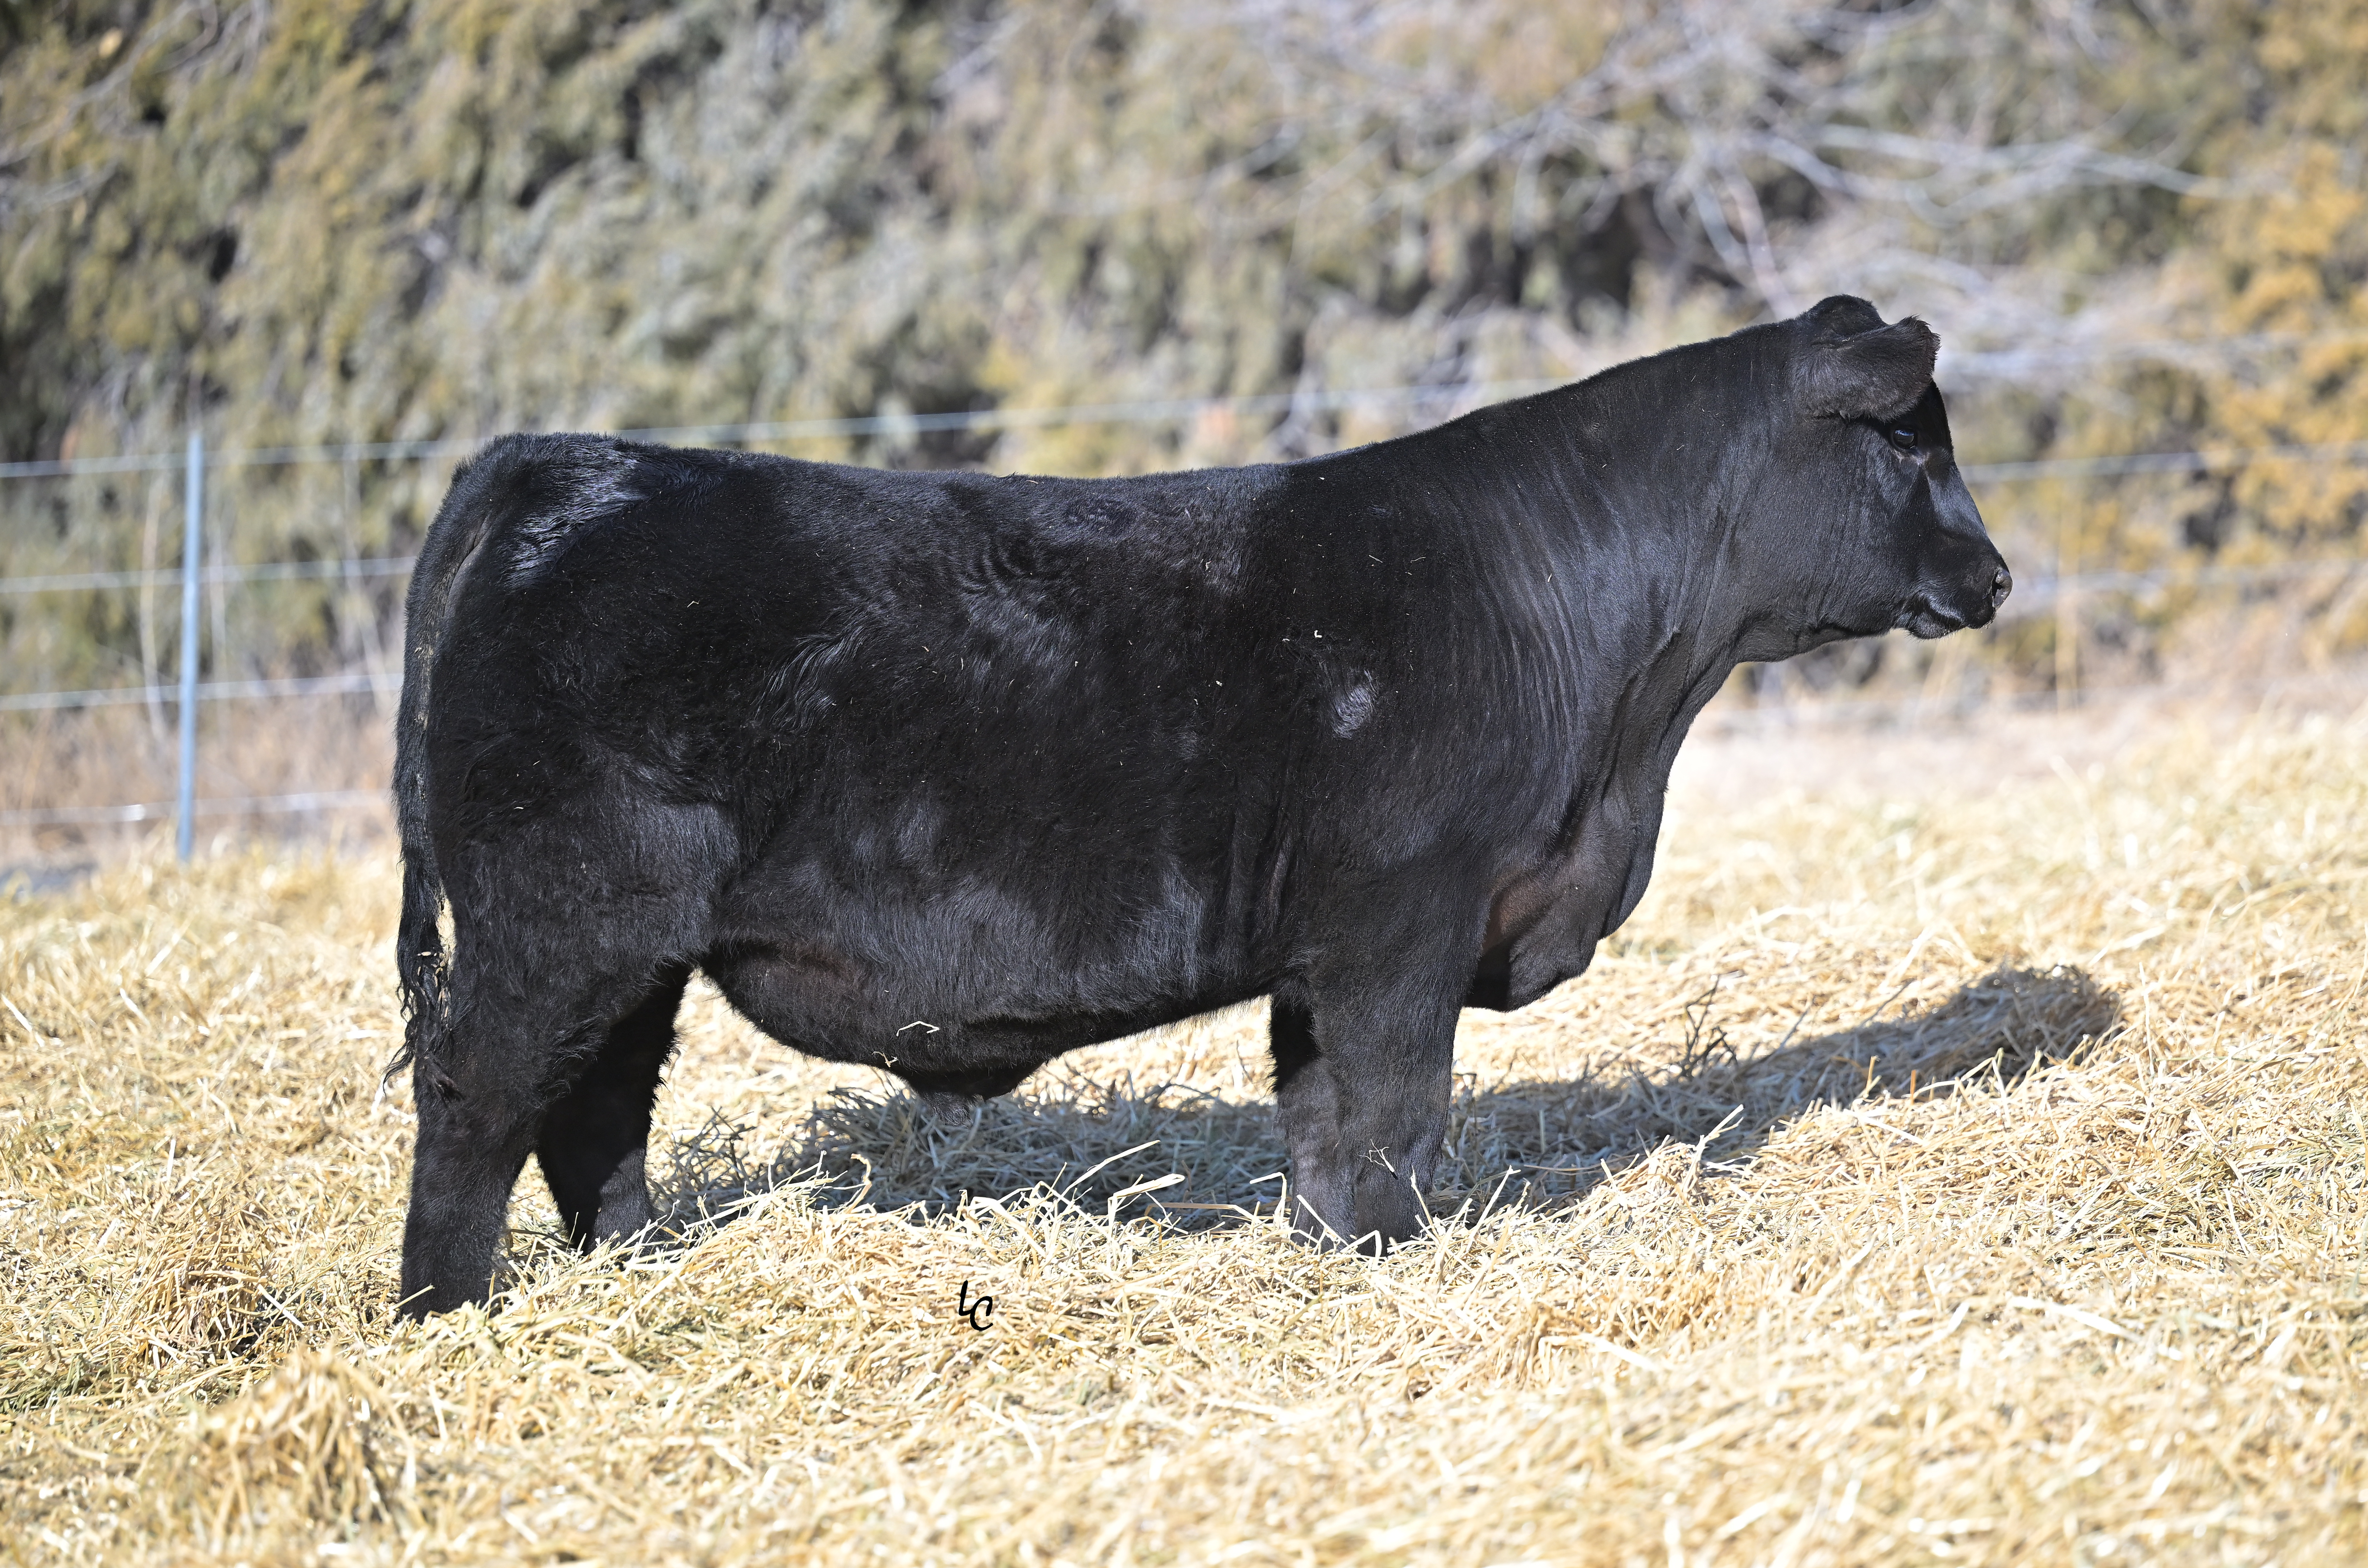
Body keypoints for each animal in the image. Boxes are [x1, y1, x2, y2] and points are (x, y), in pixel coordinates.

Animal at [389, 295, 2009, 1317]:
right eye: (1909, 441)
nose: (1995, 575)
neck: (1626, 731)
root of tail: (565, 457)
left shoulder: (1322, 947)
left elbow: (1320, 1124)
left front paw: (1329, 1257)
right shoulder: (1401, 926)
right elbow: (1397, 1116)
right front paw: (1396, 1260)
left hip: (635, 947)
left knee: (596, 1112)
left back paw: (633, 1274)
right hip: (560, 916)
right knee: (479, 1100)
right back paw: (442, 1314)